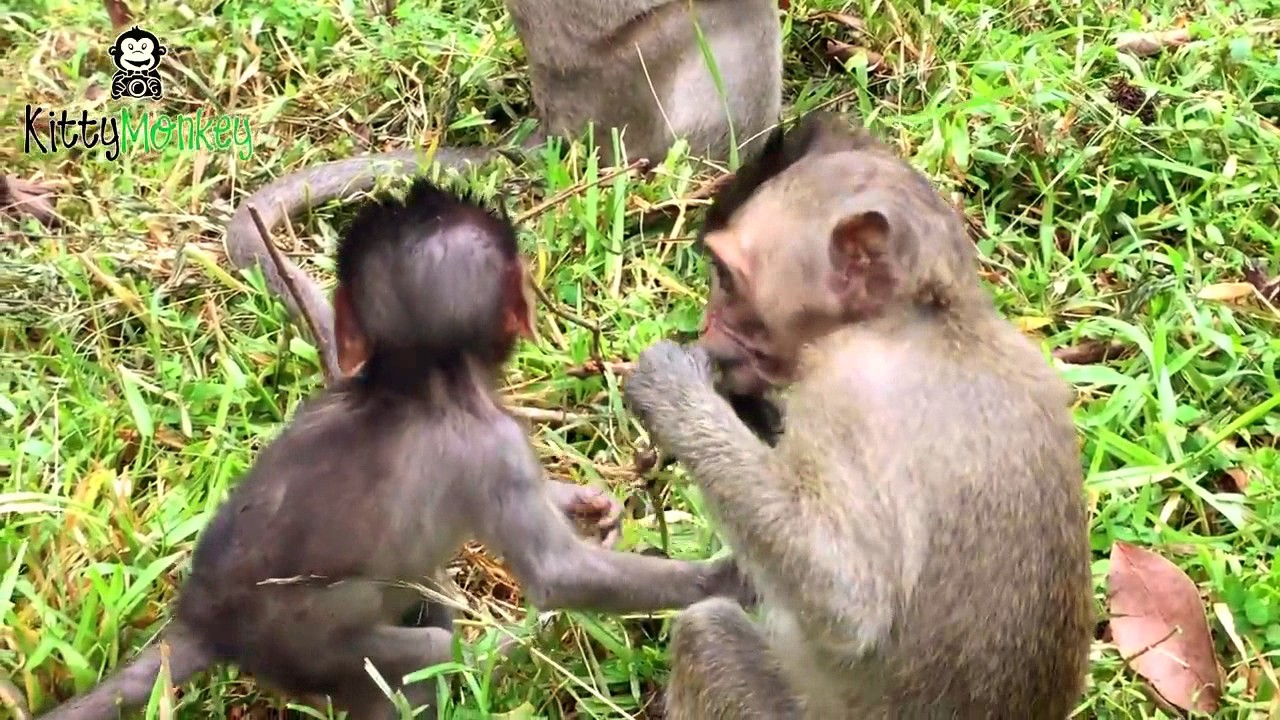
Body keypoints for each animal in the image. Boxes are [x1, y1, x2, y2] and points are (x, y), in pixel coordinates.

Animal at [37, 178, 754, 720]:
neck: (412, 380)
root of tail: (201, 620)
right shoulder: (490, 440)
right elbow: (559, 574)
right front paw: (718, 579)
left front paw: (585, 501)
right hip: (307, 644)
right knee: (421, 643)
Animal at [623, 113, 1095, 718]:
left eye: (726, 280)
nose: (707, 328)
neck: (927, 319)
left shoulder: (847, 391)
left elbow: (847, 601)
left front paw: (672, 389)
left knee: (706, 635)